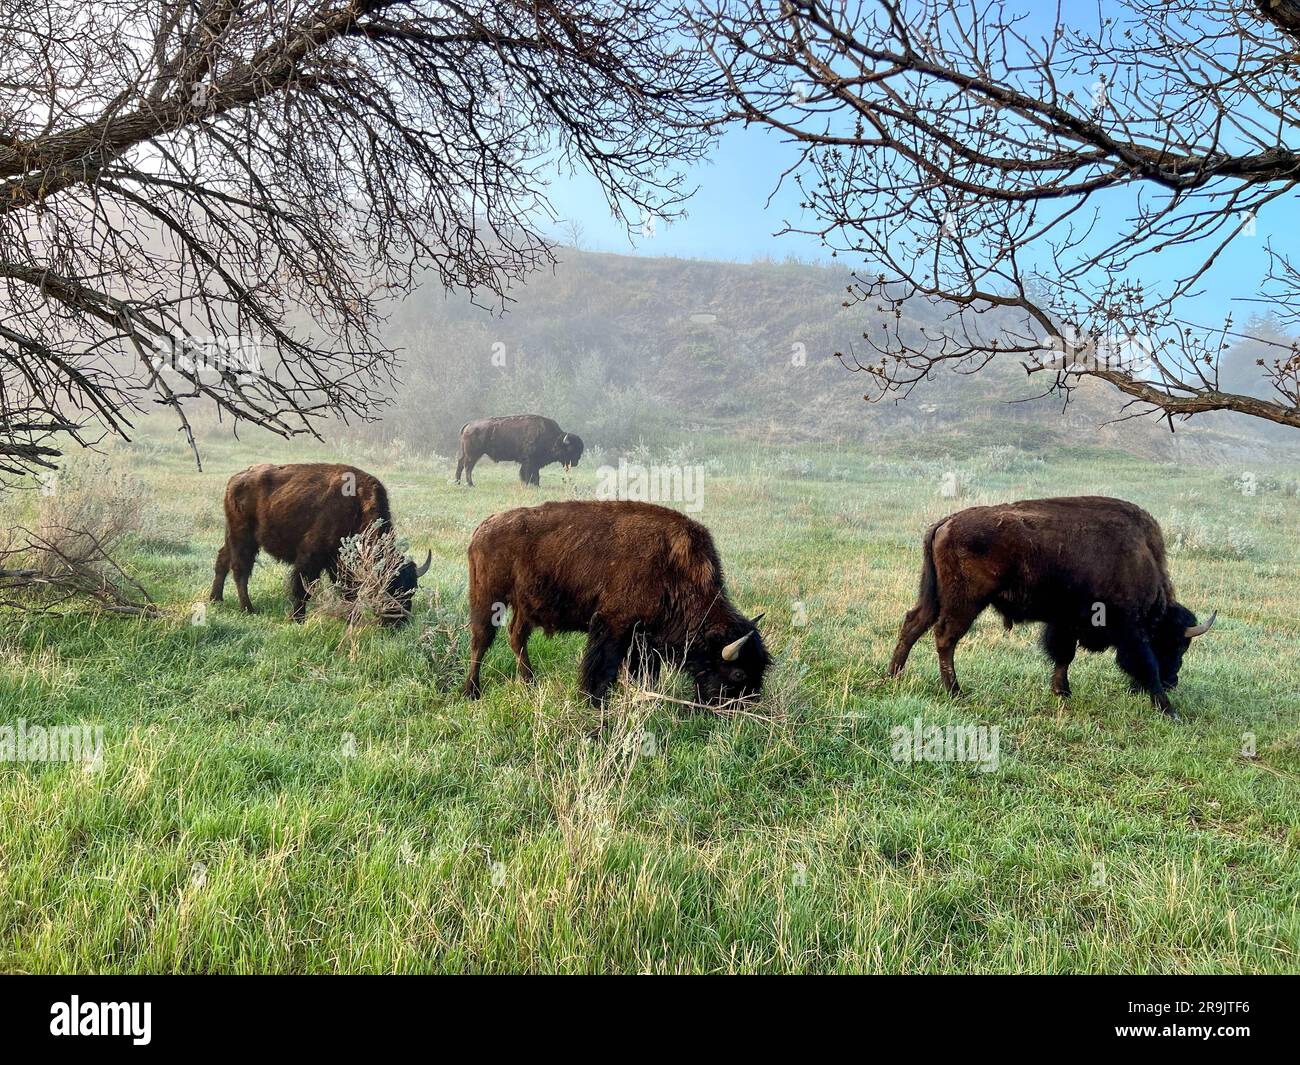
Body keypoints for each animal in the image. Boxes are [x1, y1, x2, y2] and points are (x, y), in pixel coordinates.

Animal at [209, 463, 430, 623]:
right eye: (390, 588)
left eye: (412, 589)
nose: (399, 621)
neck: (358, 506)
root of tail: (236, 478)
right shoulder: (311, 558)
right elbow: (302, 588)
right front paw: (297, 618)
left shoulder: (338, 565)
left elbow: (349, 592)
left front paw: (351, 618)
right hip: (243, 537)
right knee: (240, 570)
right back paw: (248, 609)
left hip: (233, 537)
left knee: (222, 561)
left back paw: (216, 600)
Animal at [454, 414, 584, 487]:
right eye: (571, 448)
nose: (576, 463)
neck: (554, 439)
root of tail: (469, 424)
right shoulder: (529, 461)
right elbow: (528, 473)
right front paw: (528, 484)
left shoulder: (535, 462)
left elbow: (535, 474)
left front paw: (536, 485)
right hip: (473, 454)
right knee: (468, 467)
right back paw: (470, 484)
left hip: (466, 453)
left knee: (460, 464)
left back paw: (457, 482)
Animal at [462, 500, 769, 706]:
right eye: (739, 674)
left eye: (761, 669)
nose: (740, 709)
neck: (674, 570)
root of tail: (484, 527)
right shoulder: (614, 625)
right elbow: (602, 667)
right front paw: (593, 700)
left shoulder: (644, 638)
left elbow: (643, 671)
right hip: (487, 598)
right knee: (481, 641)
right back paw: (472, 691)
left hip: (525, 606)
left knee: (516, 637)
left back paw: (529, 683)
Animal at [887, 496, 1215, 717]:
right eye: (1174, 644)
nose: (1172, 680)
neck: (1141, 558)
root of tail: (946, 522)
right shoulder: (1130, 628)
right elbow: (1146, 663)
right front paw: (1168, 709)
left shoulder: (1065, 622)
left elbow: (1063, 655)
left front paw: (1062, 691)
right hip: (965, 602)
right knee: (945, 637)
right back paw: (955, 691)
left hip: (934, 596)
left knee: (914, 624)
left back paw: (894, 675)